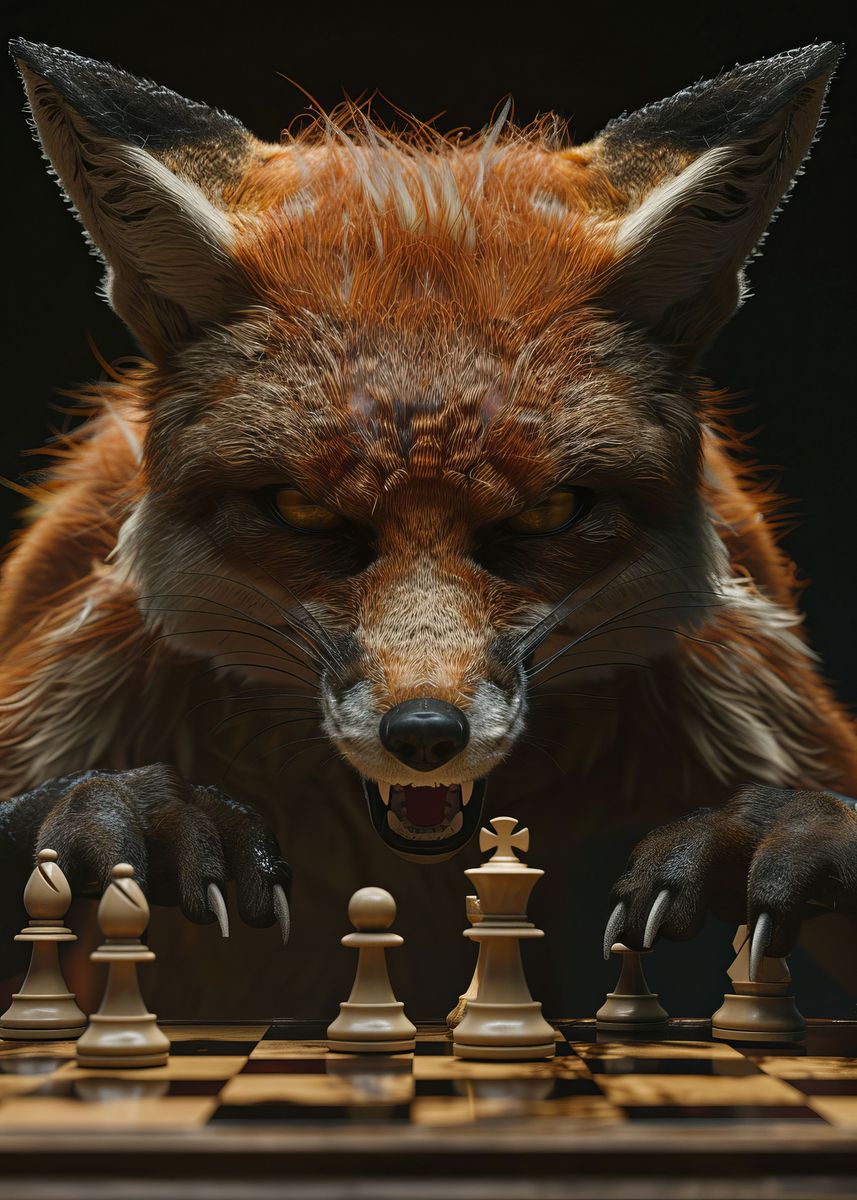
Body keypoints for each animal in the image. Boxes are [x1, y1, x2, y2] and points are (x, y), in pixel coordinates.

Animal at [1, 38, 856, 1019]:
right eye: (301, 510)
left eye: (549, 512)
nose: (422, 736)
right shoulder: (74, 684)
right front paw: (109, 808)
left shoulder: (747, 697)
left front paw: (785, 827)